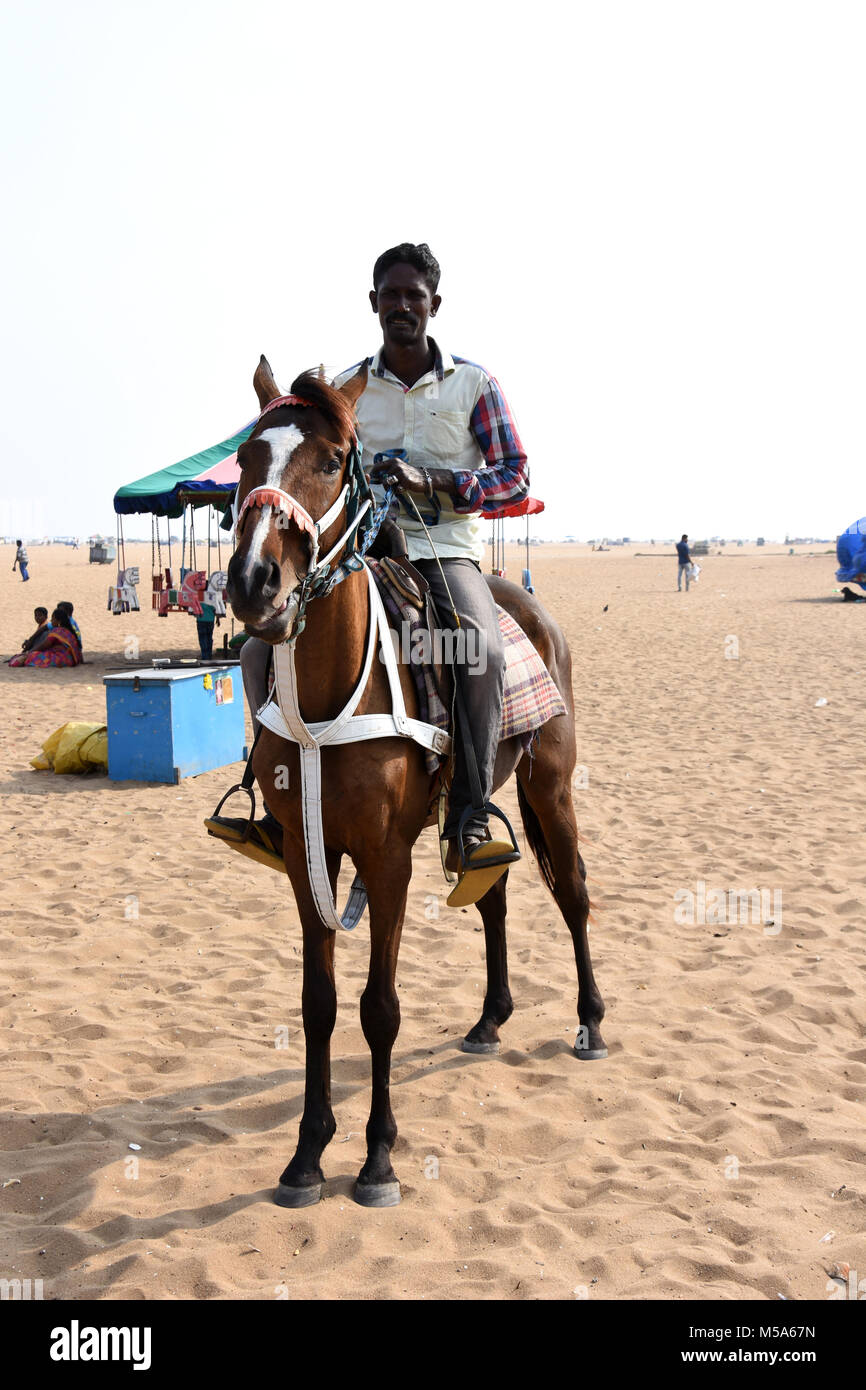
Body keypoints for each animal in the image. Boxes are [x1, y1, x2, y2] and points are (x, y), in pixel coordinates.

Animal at [224, 356, 608, 1209]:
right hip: (477, 807)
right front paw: (306, 1155)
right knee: (492, 889)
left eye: (335, 460)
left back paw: (592, 1022)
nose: (255, 582)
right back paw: (491, 1019)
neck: (332, 692)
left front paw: (377, 1158)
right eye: (244, 460)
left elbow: (380, 1009)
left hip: (551, 786)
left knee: (571, 891)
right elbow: (320, 1004)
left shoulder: (387, 858)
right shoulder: (306, 856)